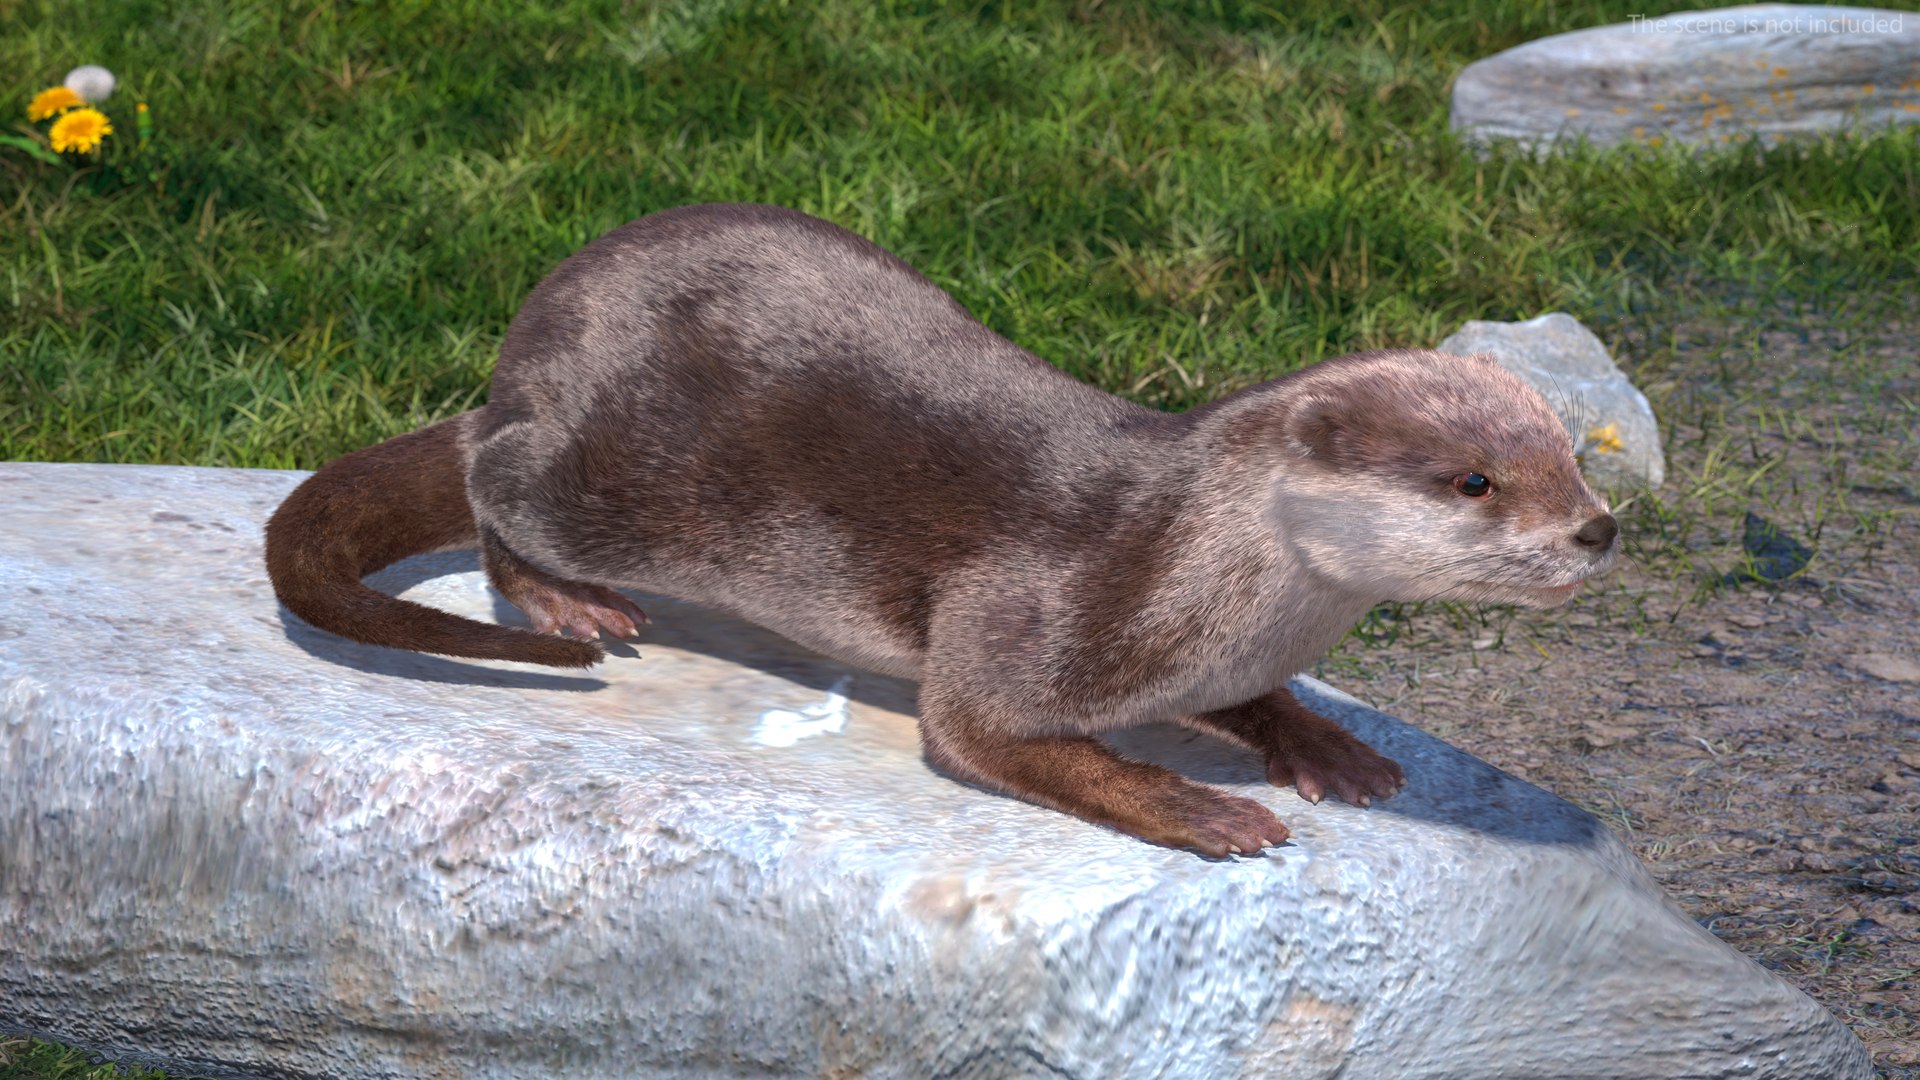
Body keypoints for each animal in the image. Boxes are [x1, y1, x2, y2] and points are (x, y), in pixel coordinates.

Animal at [267, 203, 1619, 857]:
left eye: (1566, 452)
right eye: (1475, 482)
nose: (1600, 531)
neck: (1203, 572)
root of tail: (520, 355)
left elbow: (1264, 702)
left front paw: (1325, 744)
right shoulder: (1030, 610)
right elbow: (980, 731)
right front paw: (1196, 807)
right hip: (597, 477)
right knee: (490, 487)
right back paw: (564, 600)